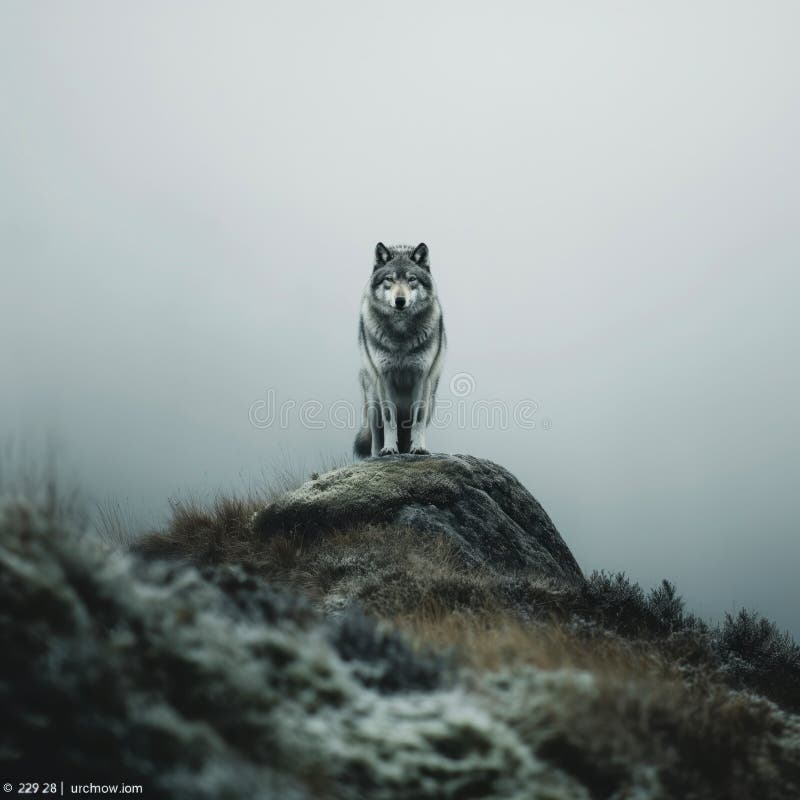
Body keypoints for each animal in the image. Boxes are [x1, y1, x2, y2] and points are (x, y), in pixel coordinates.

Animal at [354, 242, 446, 457]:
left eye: (412, 279)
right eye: (390, 279)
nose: (400, 300)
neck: (401, 336)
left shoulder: (422, 378)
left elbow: (417, 420)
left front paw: (419, 448)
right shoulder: (384, 378)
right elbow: (389, 420)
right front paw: (389, 449)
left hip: (430, 401)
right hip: (373, 402)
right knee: (375, 434)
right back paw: (377, 454)